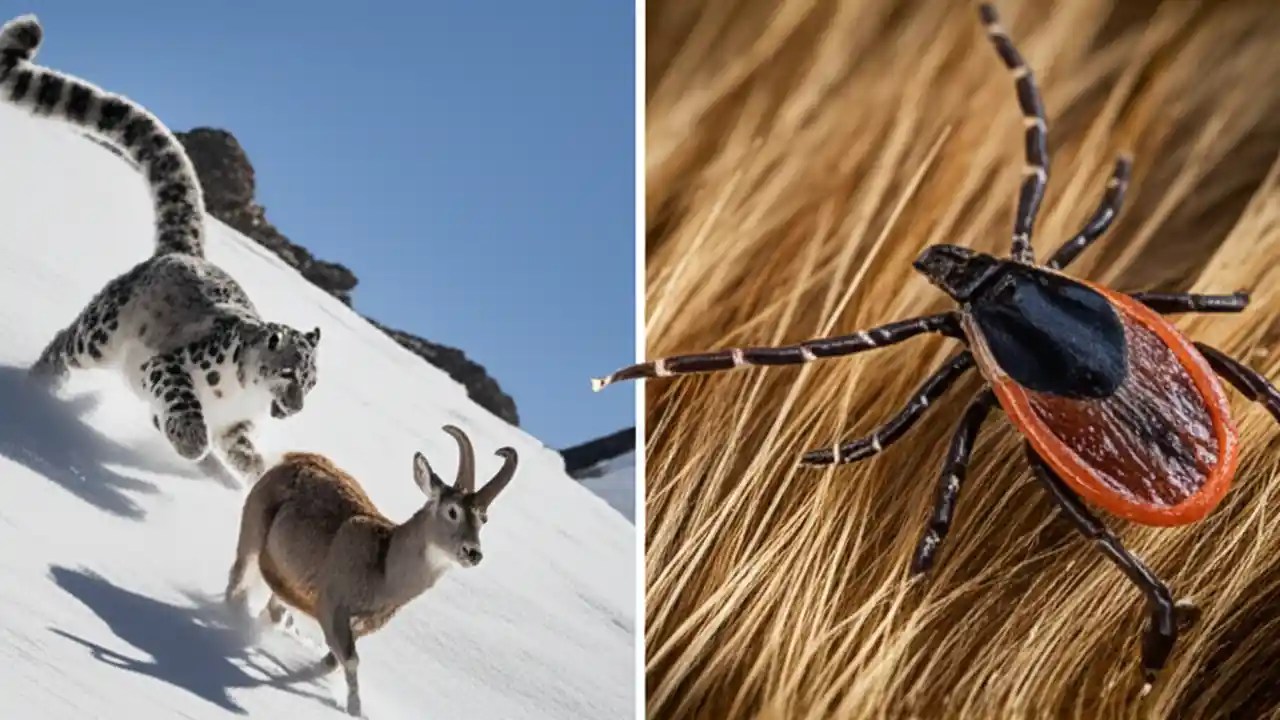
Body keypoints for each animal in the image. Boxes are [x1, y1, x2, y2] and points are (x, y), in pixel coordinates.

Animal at [224, 424, 518, 716]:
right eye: (452, 510)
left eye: (483, 519)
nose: (473, 553)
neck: (383, 569)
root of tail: (295, 458)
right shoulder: (332, 608)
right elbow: (351, 660)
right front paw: (354, 709)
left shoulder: (361, 626)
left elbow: (334, 661)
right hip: (252, 530)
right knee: (237, 576)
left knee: (274, 601)